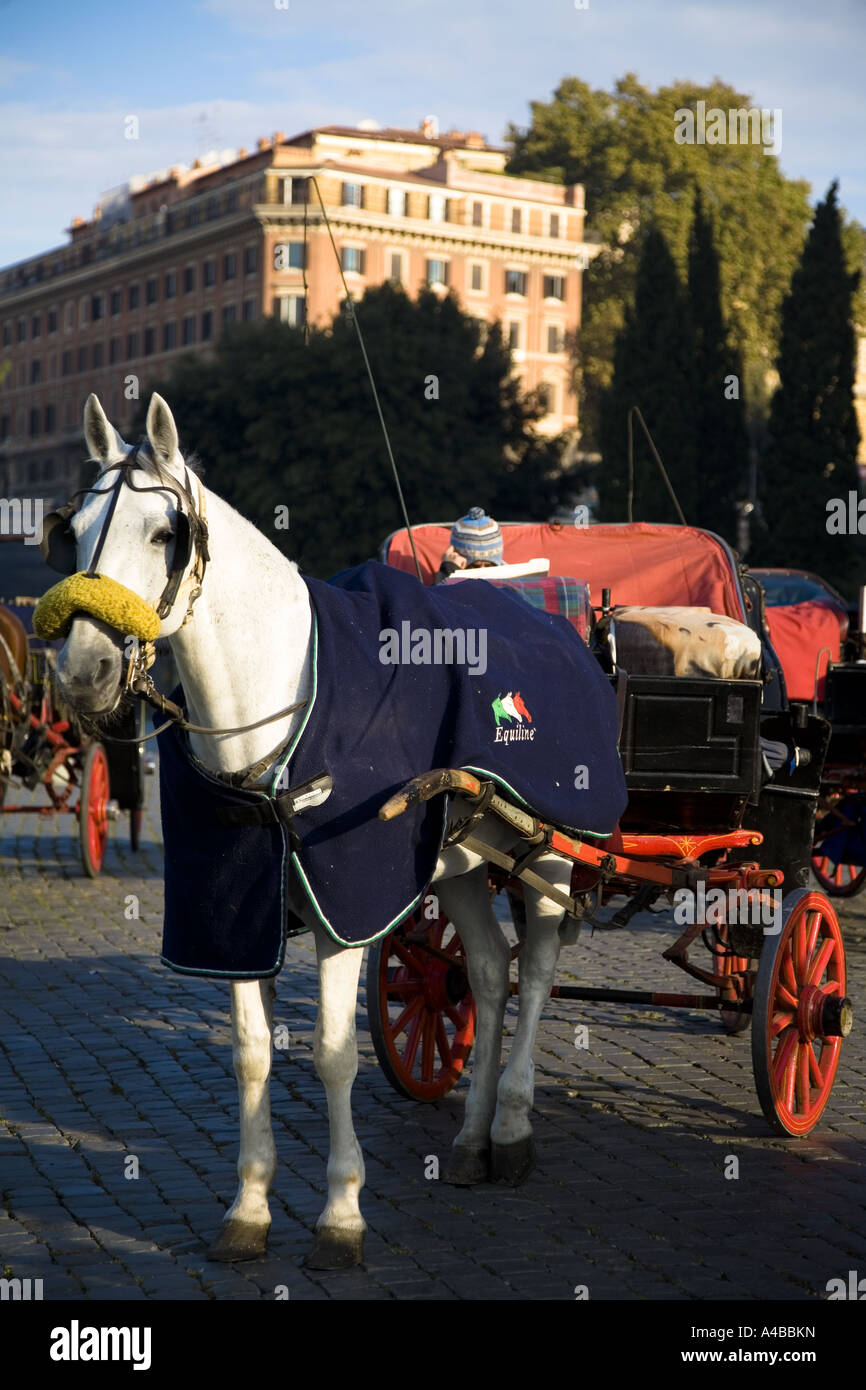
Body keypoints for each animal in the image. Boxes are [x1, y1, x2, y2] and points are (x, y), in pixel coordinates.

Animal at [48, 391, 606, 1270]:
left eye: (165, 534)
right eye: (72, 531)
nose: (83, 671)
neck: (270, 706)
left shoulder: (347, 907)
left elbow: (335, 1055)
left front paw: (342, 1213)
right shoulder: (233, 913)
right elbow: (251, 1053)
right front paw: (249, 1207)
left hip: (547, 849)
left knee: (542, 966)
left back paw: (513, 1124)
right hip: (457, 862)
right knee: (487, 973)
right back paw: (473, 1137)